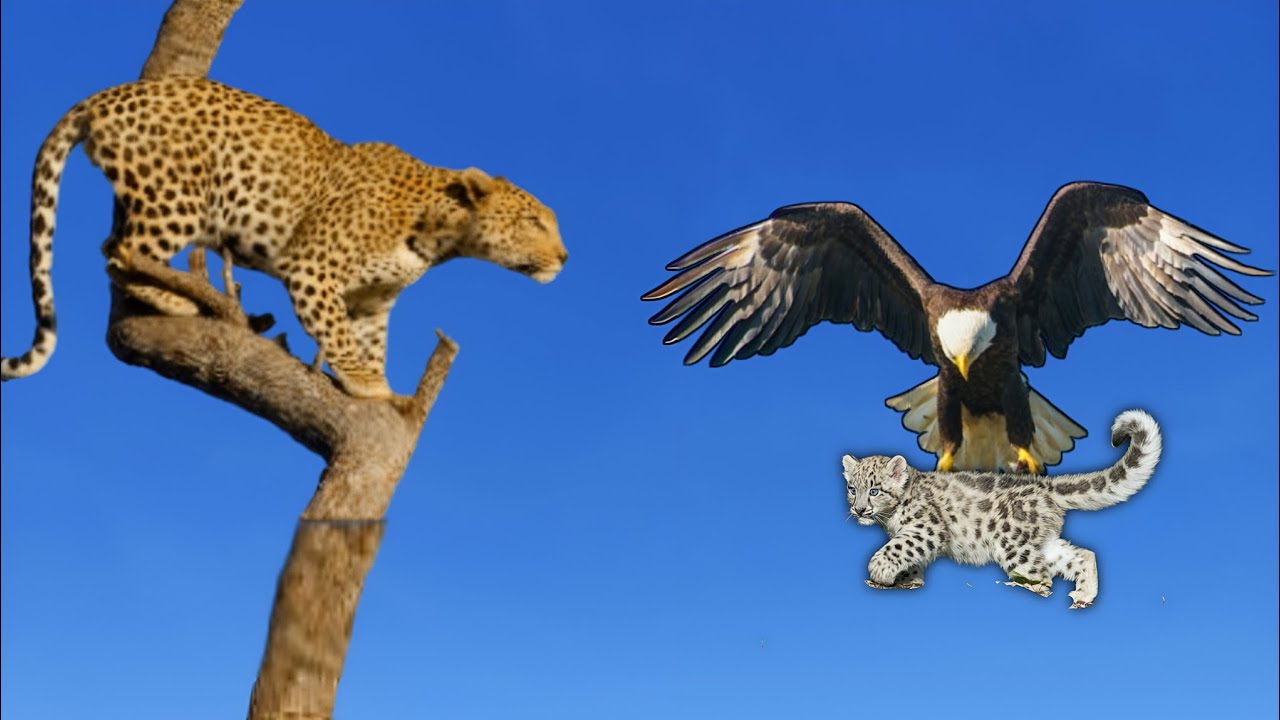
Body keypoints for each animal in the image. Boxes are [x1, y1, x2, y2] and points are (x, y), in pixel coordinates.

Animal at [1, 77, 567, 398]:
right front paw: (367, 384)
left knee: (113, 249)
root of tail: (107, 94)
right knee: (120, 256)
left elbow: (369, 340)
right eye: (535, 223)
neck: (441, 238)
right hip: (177, 201)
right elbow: (336, 334)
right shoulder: (312, 269)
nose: (565, 256)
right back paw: (187, 303)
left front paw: (375, 382)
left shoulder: (373, 302)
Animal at [842, 409, 1161, 609]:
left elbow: (898, 546)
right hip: (1040, 542)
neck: (889, 521)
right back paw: (1083, 596)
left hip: (1011, 543)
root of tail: (1044, 486)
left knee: (1042, 578)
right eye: (852, 489)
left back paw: (1021, 588)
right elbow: (910, 557)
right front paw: (905, 582)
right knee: (1082, 554)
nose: (859, 510)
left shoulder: (926, 527)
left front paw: (879, 571)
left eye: (874, 490)